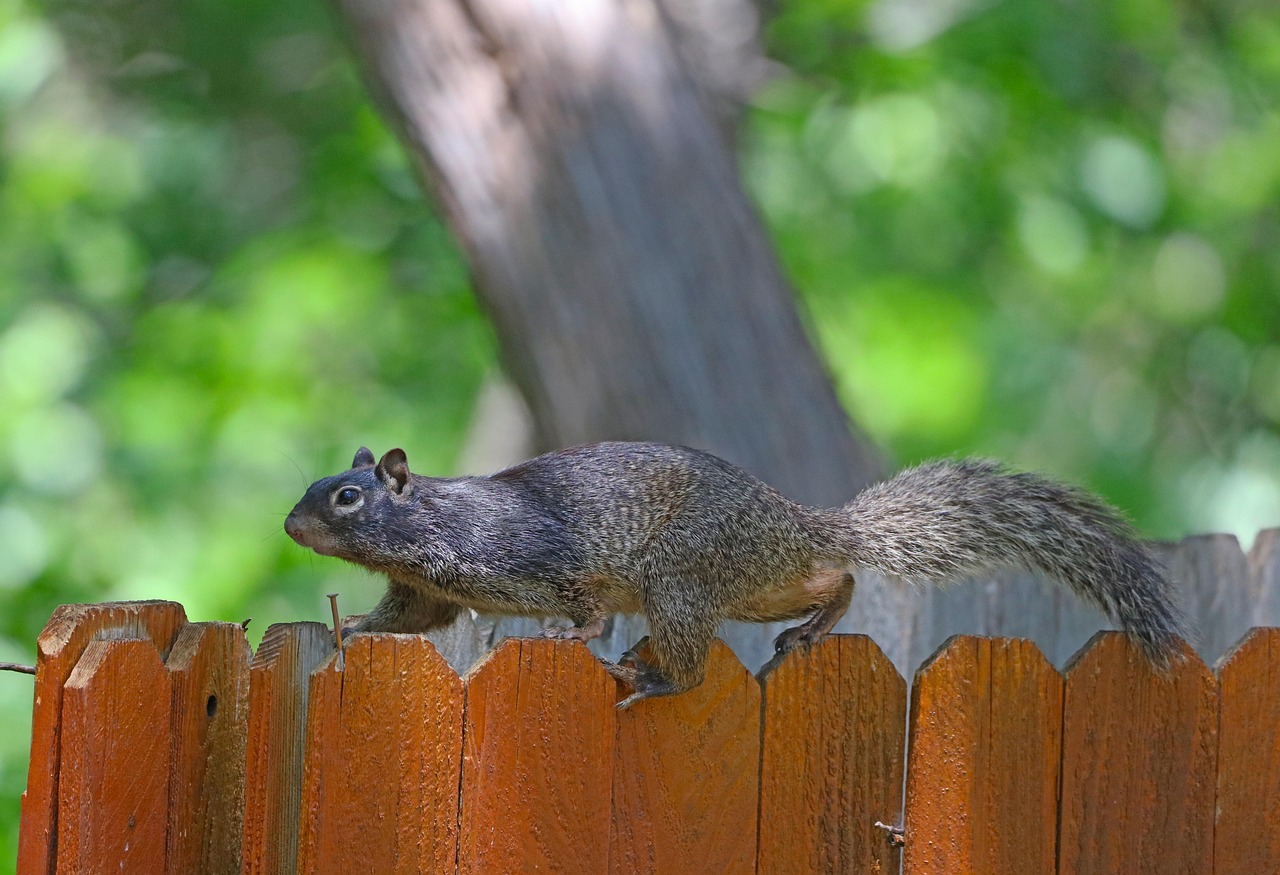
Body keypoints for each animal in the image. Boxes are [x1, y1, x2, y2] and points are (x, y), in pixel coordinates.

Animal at [284, 442, 1186, 707]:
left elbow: (579, 601)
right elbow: (410, 623)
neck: (428, 524)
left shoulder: (537, 556)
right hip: (755, 585)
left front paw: (577, 633)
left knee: (694, 659)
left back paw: (653, 676)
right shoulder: (427, 593)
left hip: (683, 581)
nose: (291, 525)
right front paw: (350, 624)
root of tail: (794, 519)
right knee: (833, 579)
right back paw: (813, 624)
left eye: (348, 495)